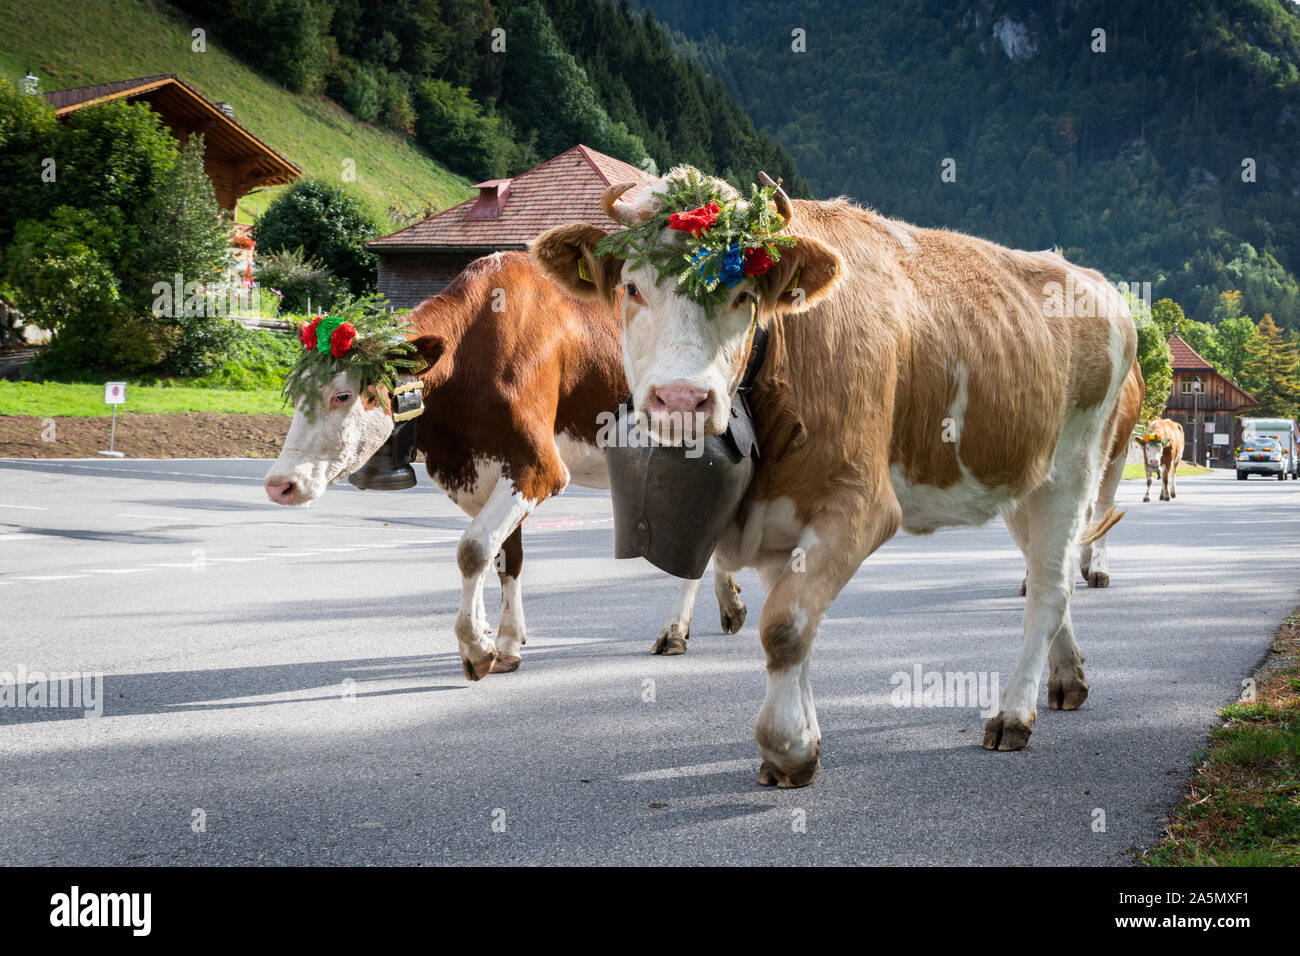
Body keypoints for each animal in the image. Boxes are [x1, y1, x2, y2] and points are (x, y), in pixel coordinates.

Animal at [263, 252, 747, 679]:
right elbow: (503, 556)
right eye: (293, 391)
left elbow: (472, 549)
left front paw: (476, 647)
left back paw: (676, 630)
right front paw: (507, 643)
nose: (278, 485)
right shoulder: (477, 468)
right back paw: (729, 605)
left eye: (342, 395)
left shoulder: (539, 466)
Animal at [533, 166, 1137, 788]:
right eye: (631, 289)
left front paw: (786, 748)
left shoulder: (860, 505)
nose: (681, 400)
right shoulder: (778, 520)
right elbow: (796, 626)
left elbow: (784, 626)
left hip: (1076, 467)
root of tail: (1087, 277)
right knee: (1049, 571)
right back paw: (1067, 678)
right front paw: (803, 743)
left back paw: (1014, 714)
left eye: (744, 295)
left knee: (1050, 586)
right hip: (1022, 482)